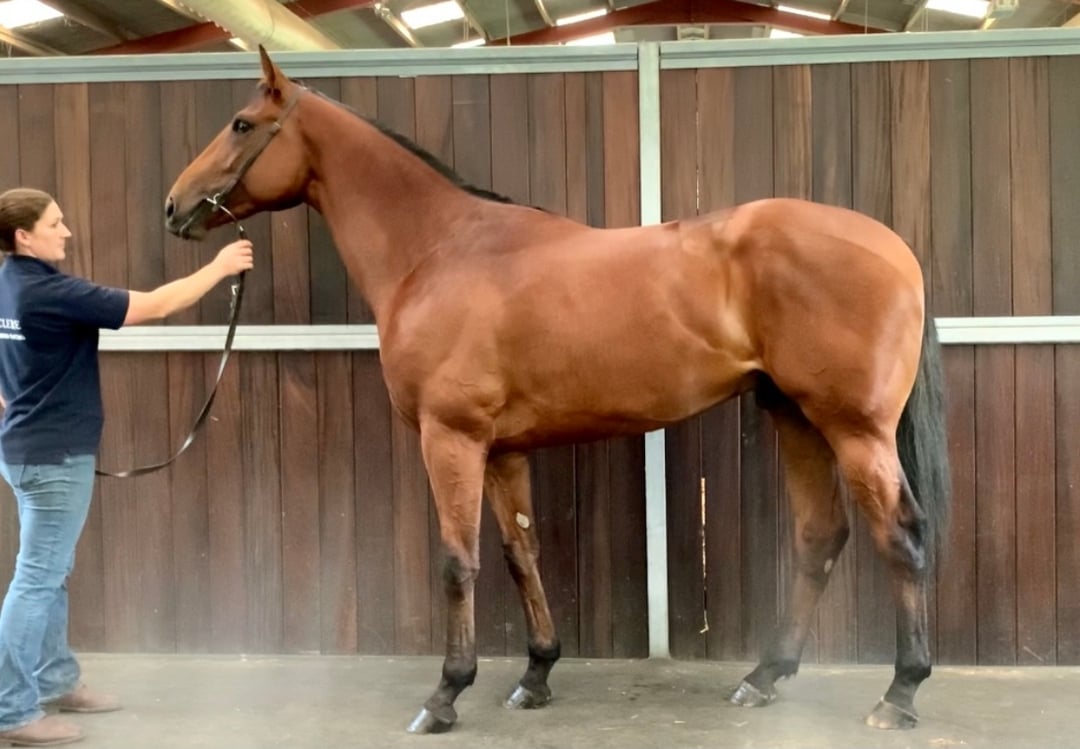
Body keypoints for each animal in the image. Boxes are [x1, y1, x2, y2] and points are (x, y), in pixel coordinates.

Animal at [164, 46, 950, 735]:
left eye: (241, 123)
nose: (174, 207)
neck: (440, 250)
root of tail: (897, 249)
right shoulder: (503, 449)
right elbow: (521, 553)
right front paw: (536, 673)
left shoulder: (450, 437)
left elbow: (458, 561)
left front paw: (446, 693)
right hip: (795, 416)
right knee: (821, 534)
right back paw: (764, 677)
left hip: (854, 429)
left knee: (901, 536)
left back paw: (900, 693)